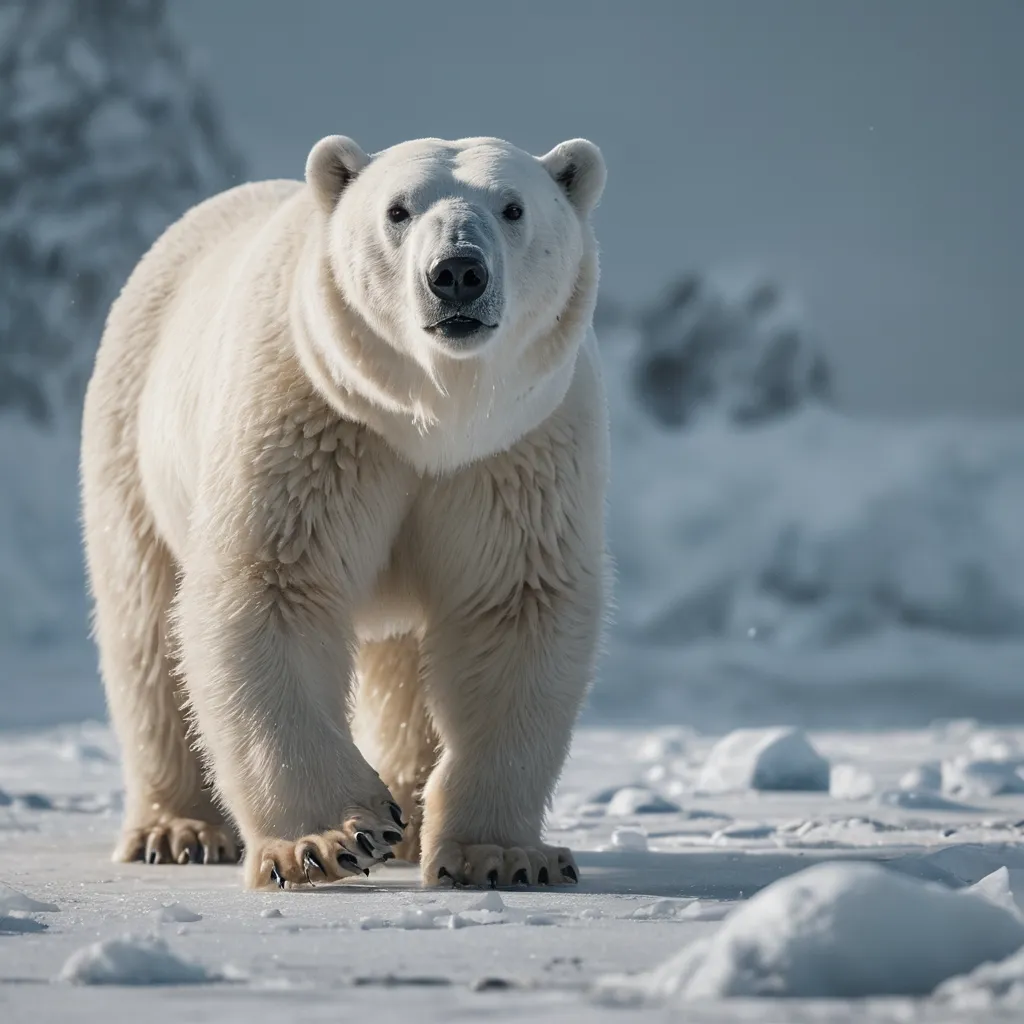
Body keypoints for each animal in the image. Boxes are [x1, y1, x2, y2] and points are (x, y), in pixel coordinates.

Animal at [80, 134, 609, 890]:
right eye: (397, 209)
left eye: (513, 207)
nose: (457, 273)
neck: (428, 420)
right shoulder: (314, 421)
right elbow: (274, 589)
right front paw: (331, 839)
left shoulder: (516, 453)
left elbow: (513, 608)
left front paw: (503, 856)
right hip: (132, 440)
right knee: (146, 632)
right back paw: (177, 829)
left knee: (404, 667)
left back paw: (409, 817)